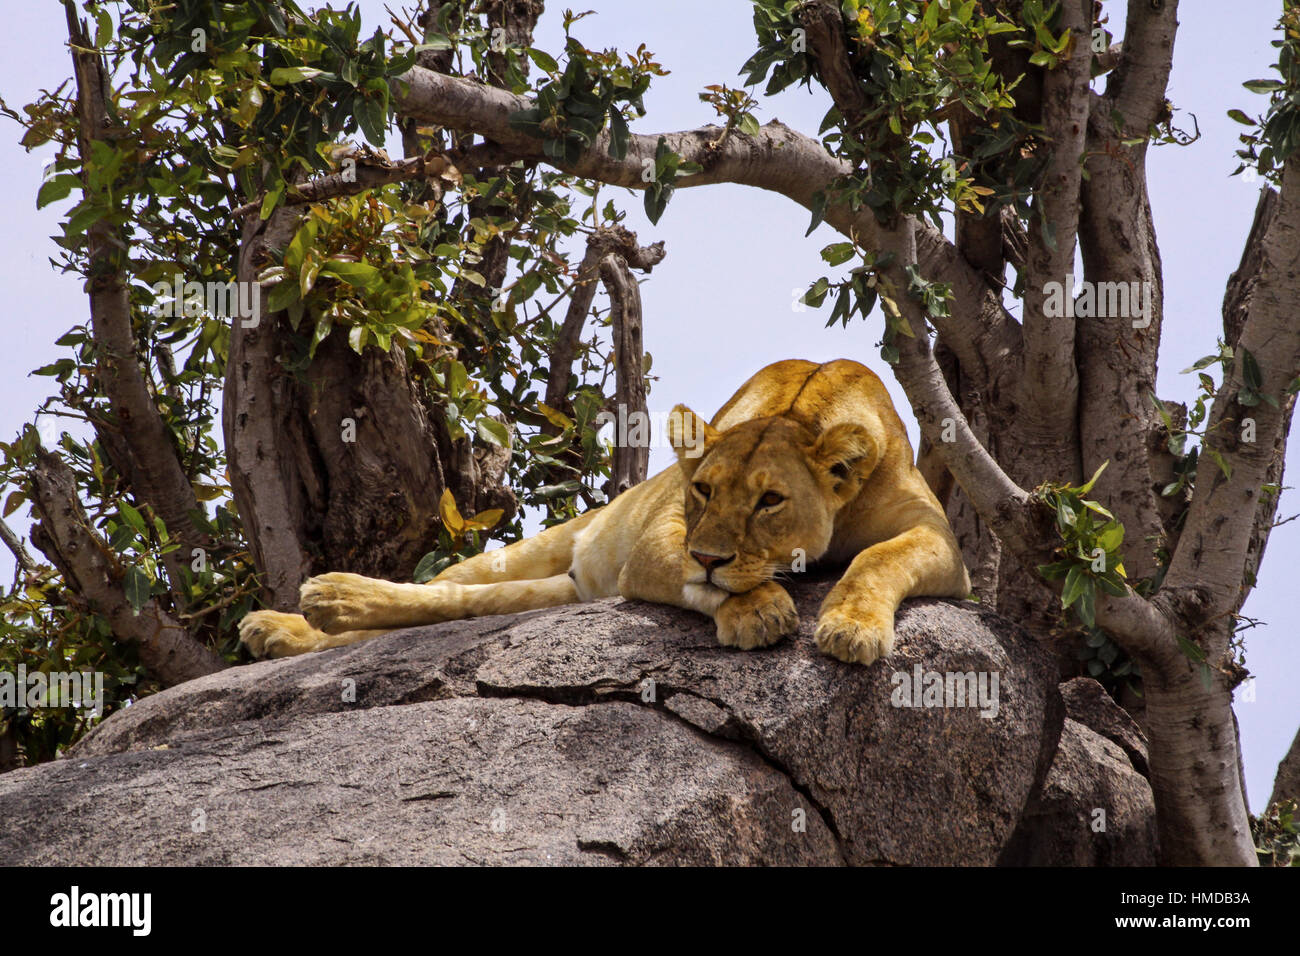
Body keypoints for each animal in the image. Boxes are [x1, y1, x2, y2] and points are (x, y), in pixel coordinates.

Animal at [239, 359, 971, 663]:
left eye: (770, 500)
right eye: (704, 490)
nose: (710, 556)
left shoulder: (939, 539)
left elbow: (878, 557)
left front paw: (850, 628)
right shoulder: (660, 534)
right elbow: (705, 578)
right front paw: (756, 609)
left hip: (552, 589)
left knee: (451, 609)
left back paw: (306, 618)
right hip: (531, 549)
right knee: (438, 587)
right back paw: (305, 611)